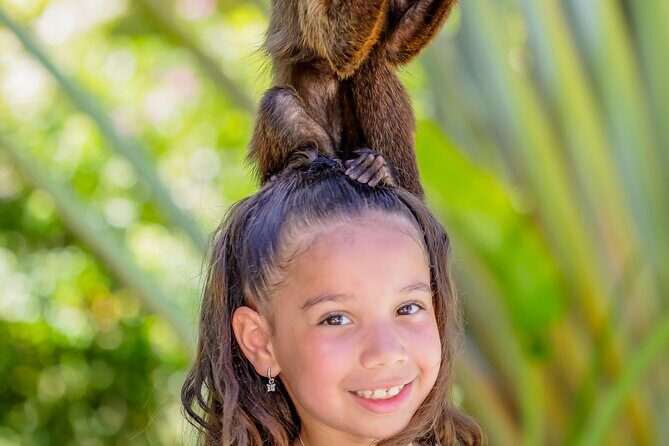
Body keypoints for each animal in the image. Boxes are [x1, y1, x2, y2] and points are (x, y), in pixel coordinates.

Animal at [247, 0, 458, 198]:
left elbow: (393, 46)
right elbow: (336, 44)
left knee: (371, 64)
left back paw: (381, 173)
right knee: (280, 101)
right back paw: (287, 169)